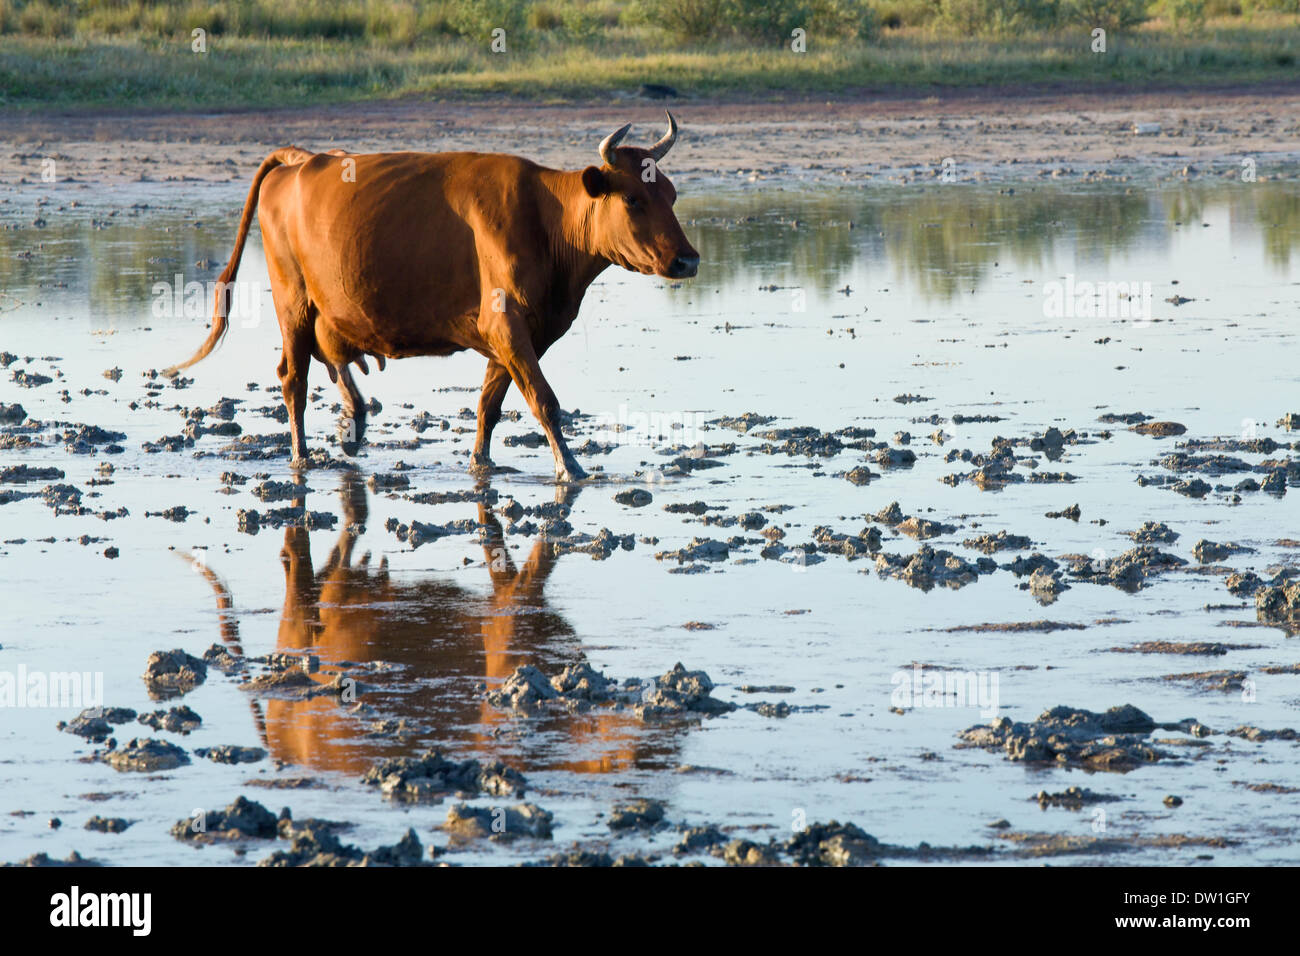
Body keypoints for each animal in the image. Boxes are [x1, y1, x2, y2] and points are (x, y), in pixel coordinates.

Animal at [165, 113, 700, 482]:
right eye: (632, 199)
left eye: (672, 195)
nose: (688, 260)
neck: (545, 219)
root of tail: (304, 159)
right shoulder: (507, 324)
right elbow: (543, 399)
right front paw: (571, 468)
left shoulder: (514, 334)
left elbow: (490, 404)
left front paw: (481, 463)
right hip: (292, 301)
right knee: (294, 379)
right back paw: (301, 455)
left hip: (326, 306)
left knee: (332, 357)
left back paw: (353, 423)